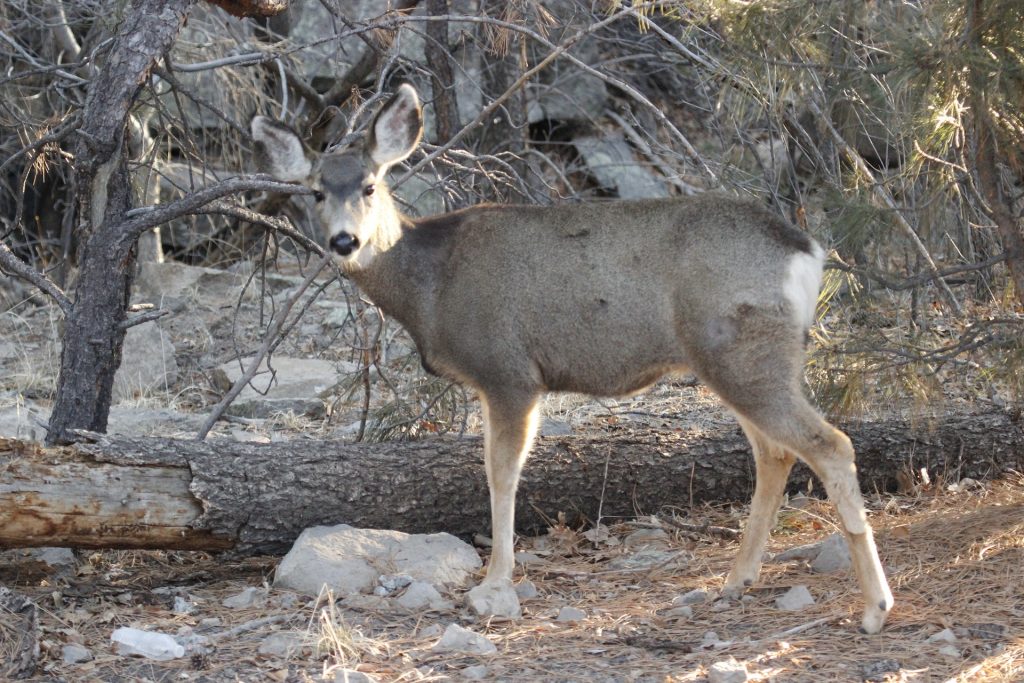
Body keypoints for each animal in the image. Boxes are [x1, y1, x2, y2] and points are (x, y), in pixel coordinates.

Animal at [250, 84, 894, 634]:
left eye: (369, 186)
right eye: (315, 191)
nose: (344, 242)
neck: (430, 285)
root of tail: (806, 251)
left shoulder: (508, 371)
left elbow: (501, 474)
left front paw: (495, 585)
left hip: (745, 352)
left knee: (830, 444)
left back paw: (873, 609)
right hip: (734, 359)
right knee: (775, 453)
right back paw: (737, 581)